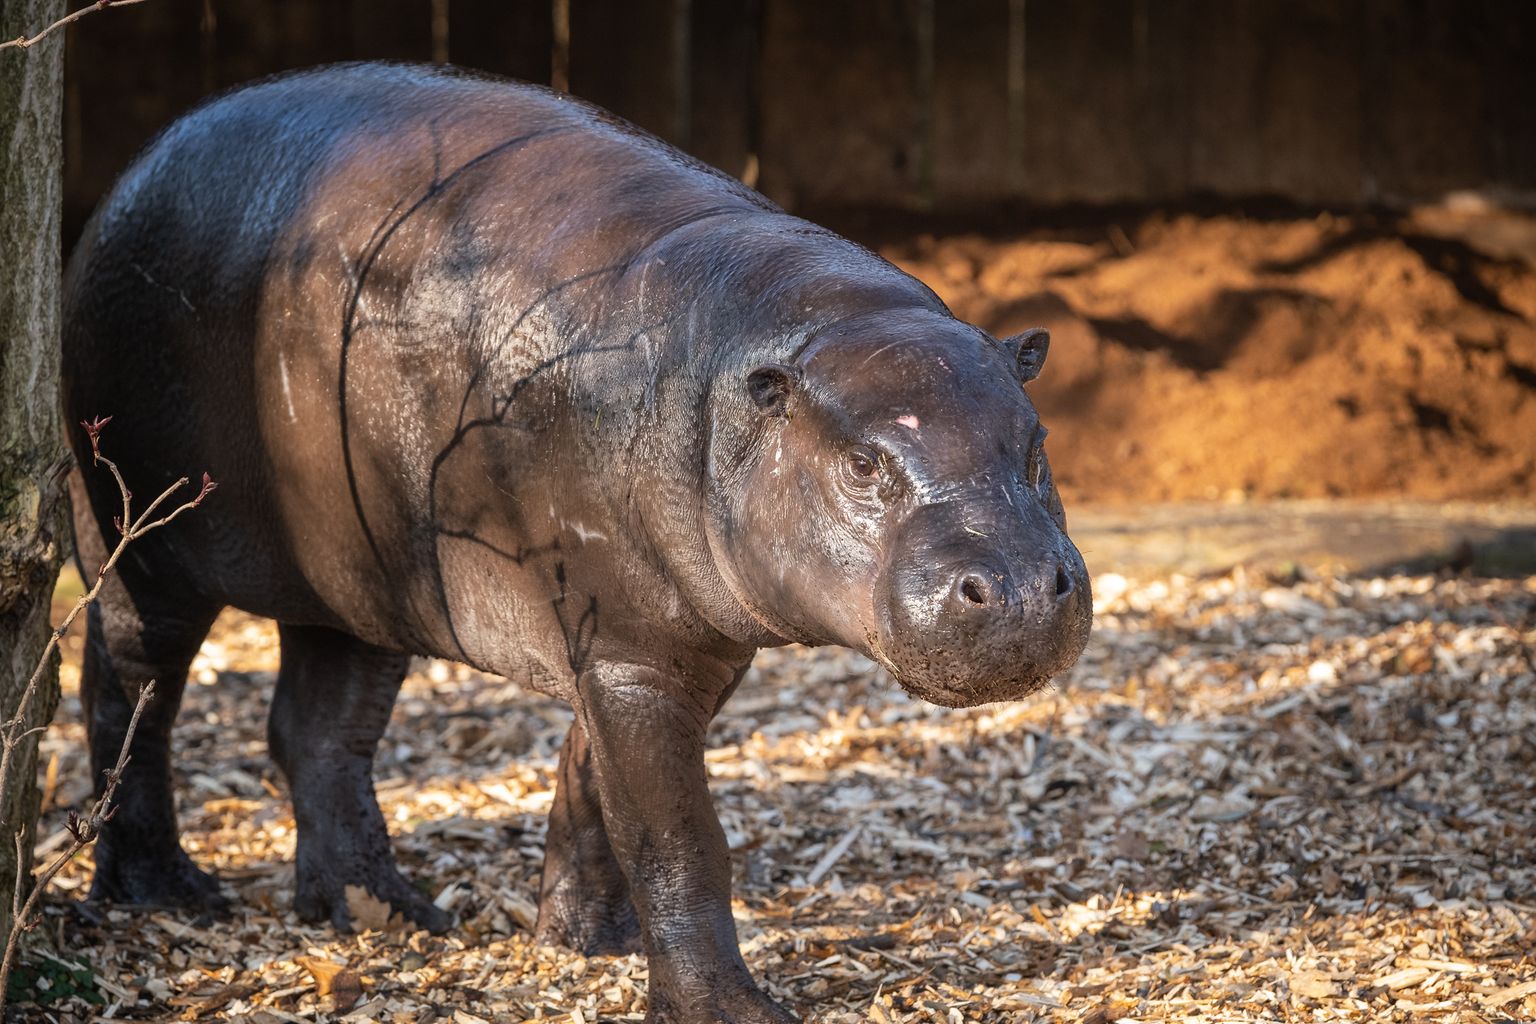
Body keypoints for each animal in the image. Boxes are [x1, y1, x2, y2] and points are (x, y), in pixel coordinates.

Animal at [62, 63, 1090, 1023]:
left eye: (1037, 441)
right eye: (865, 463)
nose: (1017, 585)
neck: (780, 355)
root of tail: (126, 183)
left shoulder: (670, 646)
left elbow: (595, 793)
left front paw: (586, 945)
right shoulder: (632, 651)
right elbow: (677, 837)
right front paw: (730, 1009)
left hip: (359, 579)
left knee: (318, 728)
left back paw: (384, 913)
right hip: (141, 542)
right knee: (129, 692)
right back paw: (168, 895)